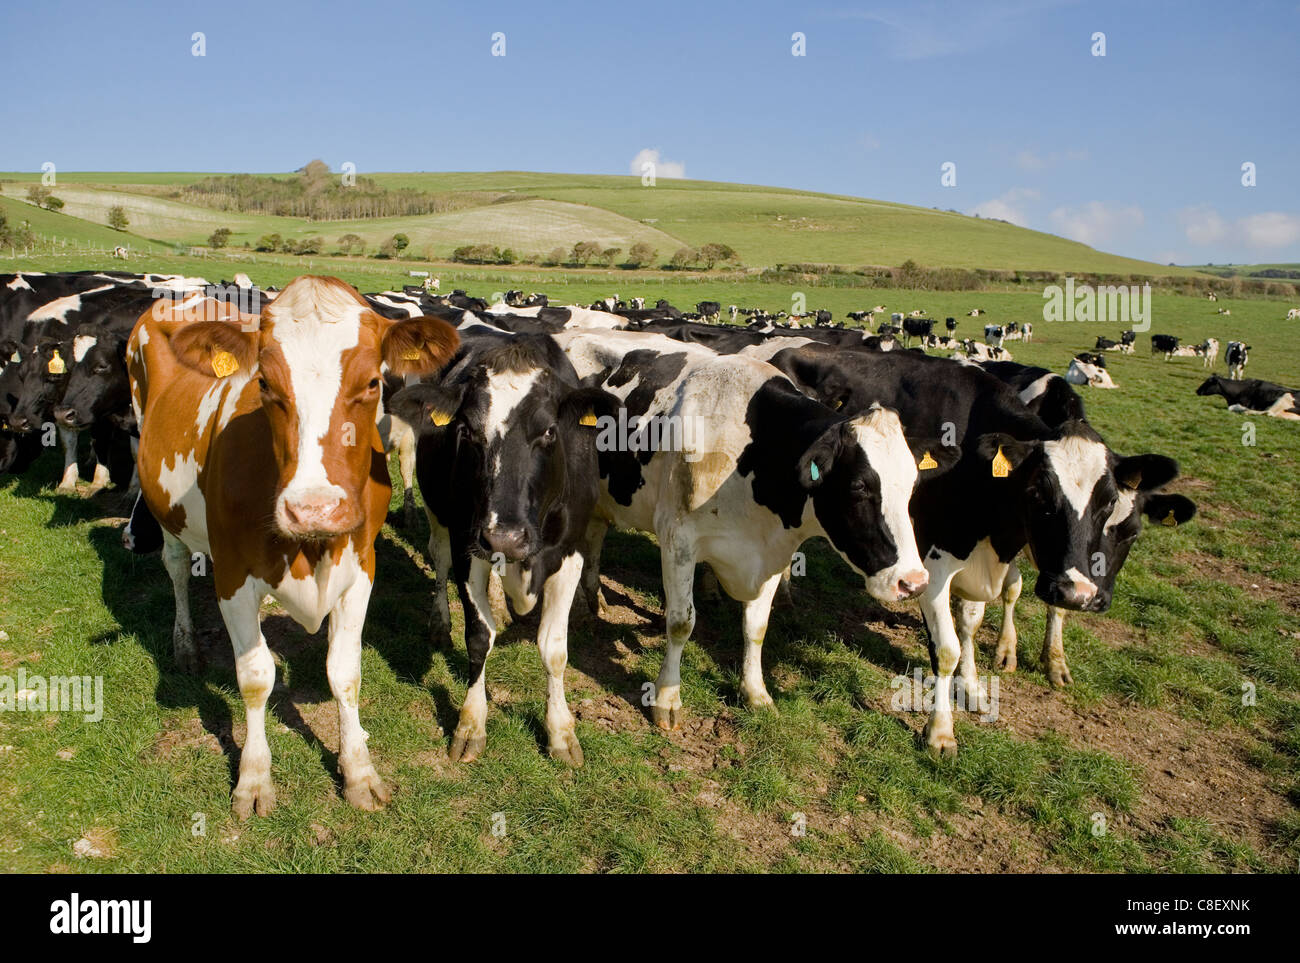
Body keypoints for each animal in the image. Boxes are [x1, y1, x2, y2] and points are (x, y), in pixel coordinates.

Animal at [128, 276, 458, 817]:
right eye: (263, 383)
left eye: (373, 383)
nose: (315, 510)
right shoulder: (233, 577)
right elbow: (255, 676)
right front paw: (254, 778)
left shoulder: (361, 569)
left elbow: (344, 672)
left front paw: (359, 771)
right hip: (164, 505)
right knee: (175, 567)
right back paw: (186, 646)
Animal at [556, 329, 941, 732]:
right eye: (859, 486)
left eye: (913, 484)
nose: (913, 582)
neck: (751, 451)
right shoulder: (679, 540)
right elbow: (681, 622)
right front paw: (666, 699)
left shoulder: (772, 551)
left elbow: (756, 627)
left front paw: (755, 693)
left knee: (595, 536)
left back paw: (596, 597)